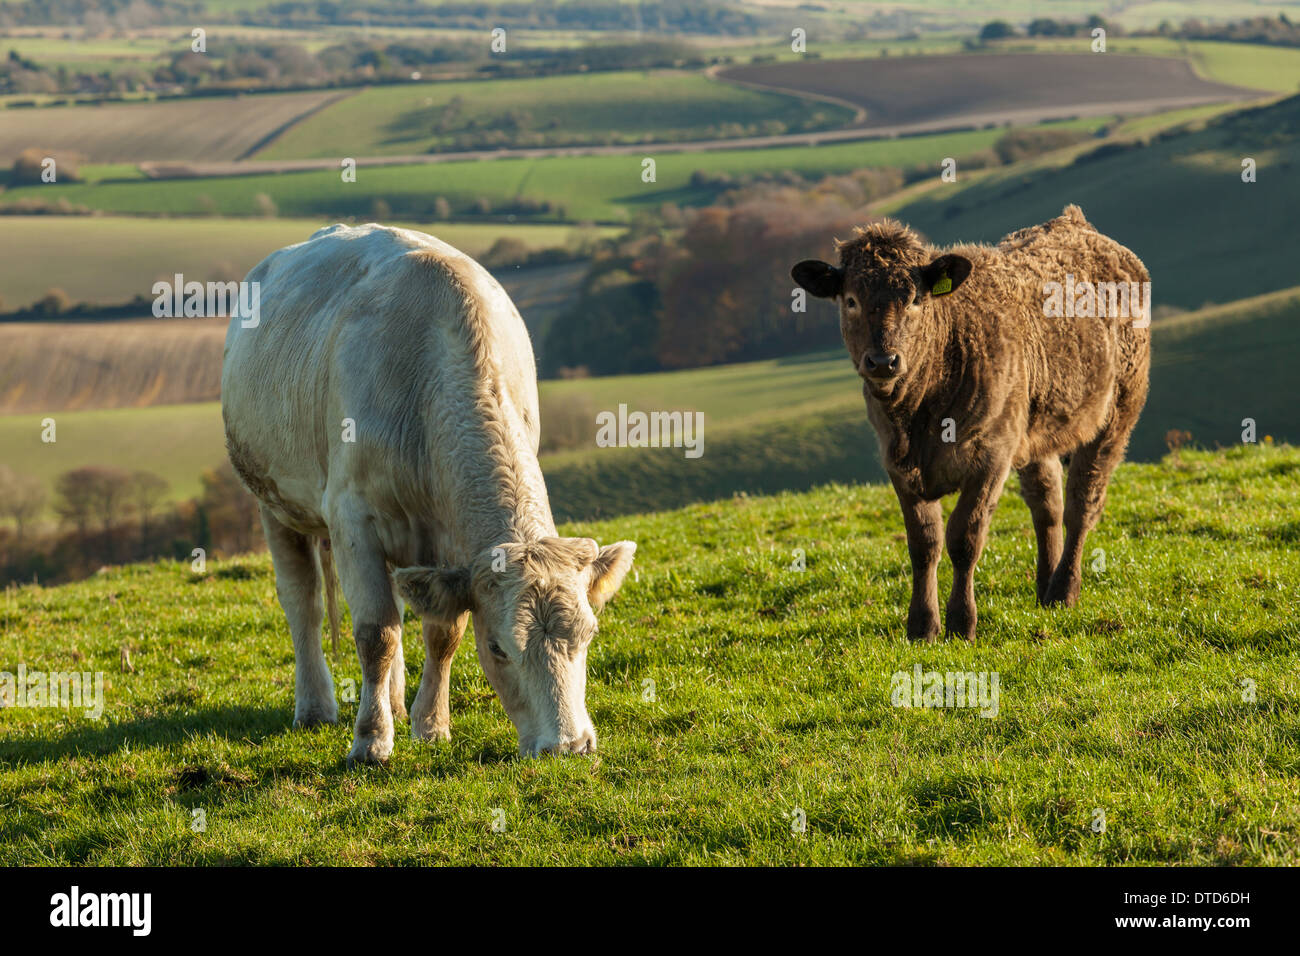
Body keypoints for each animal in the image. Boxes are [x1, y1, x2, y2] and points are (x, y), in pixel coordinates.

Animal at [221, 224, 636, 764]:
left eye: (589, 634)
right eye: (499, 647)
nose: (569, 745)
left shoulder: (447, 546)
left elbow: (443, 632)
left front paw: (430, 725)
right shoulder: (353, 521)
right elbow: (375, 633)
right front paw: (371, 740)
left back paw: (396, 702)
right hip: (273, 502)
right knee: (303, 604)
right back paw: (316, 707)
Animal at [792, 205, 1150, 640]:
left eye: (915, 298)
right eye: (850, 300)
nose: (882, 361)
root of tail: (1075, 223)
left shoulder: (990, 455)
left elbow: (965, 538)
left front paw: (962, 623)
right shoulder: (897, 462)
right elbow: (923, 544)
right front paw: (922, 626)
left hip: (1118, 412)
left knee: (1082, 503)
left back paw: (1064, 589)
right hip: (1034, 430)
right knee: (1047, 503)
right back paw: (1045, 589)